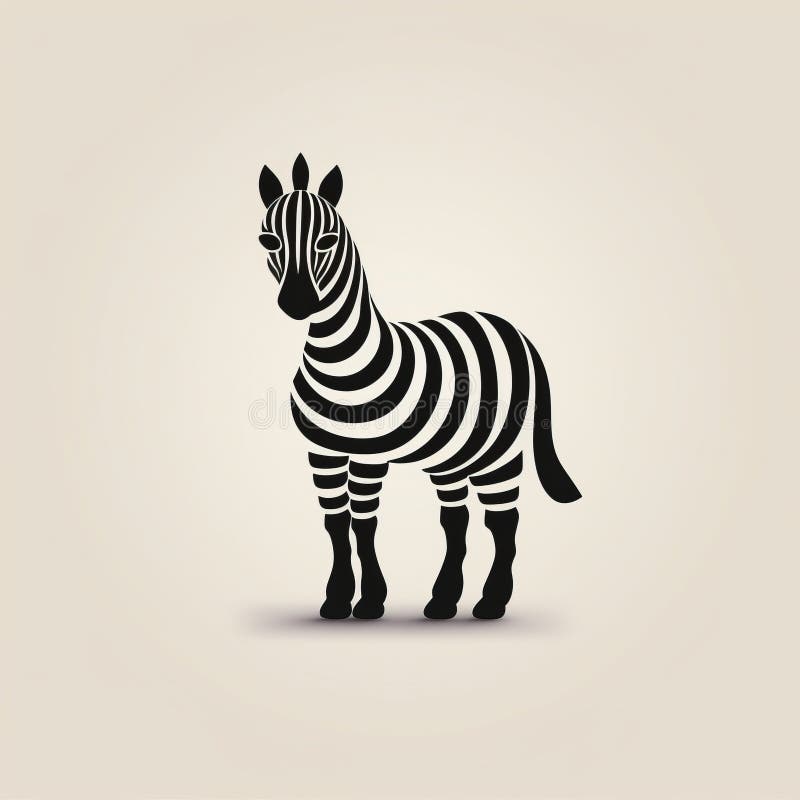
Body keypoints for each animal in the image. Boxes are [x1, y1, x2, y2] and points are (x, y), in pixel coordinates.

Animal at [258, 153, 580, 621]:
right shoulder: (323, 451)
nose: (298, 304)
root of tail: (512, 328)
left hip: (499, 450)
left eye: (327, 240)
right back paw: (444, 600)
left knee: (503, 519)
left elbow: (365, 521)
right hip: (453, 455)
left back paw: (491, 602)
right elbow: (336, 521)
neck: (340, 356)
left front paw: (370, 600)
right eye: (268, 240)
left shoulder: (370, 456)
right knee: (456, 519)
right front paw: (337, 599)